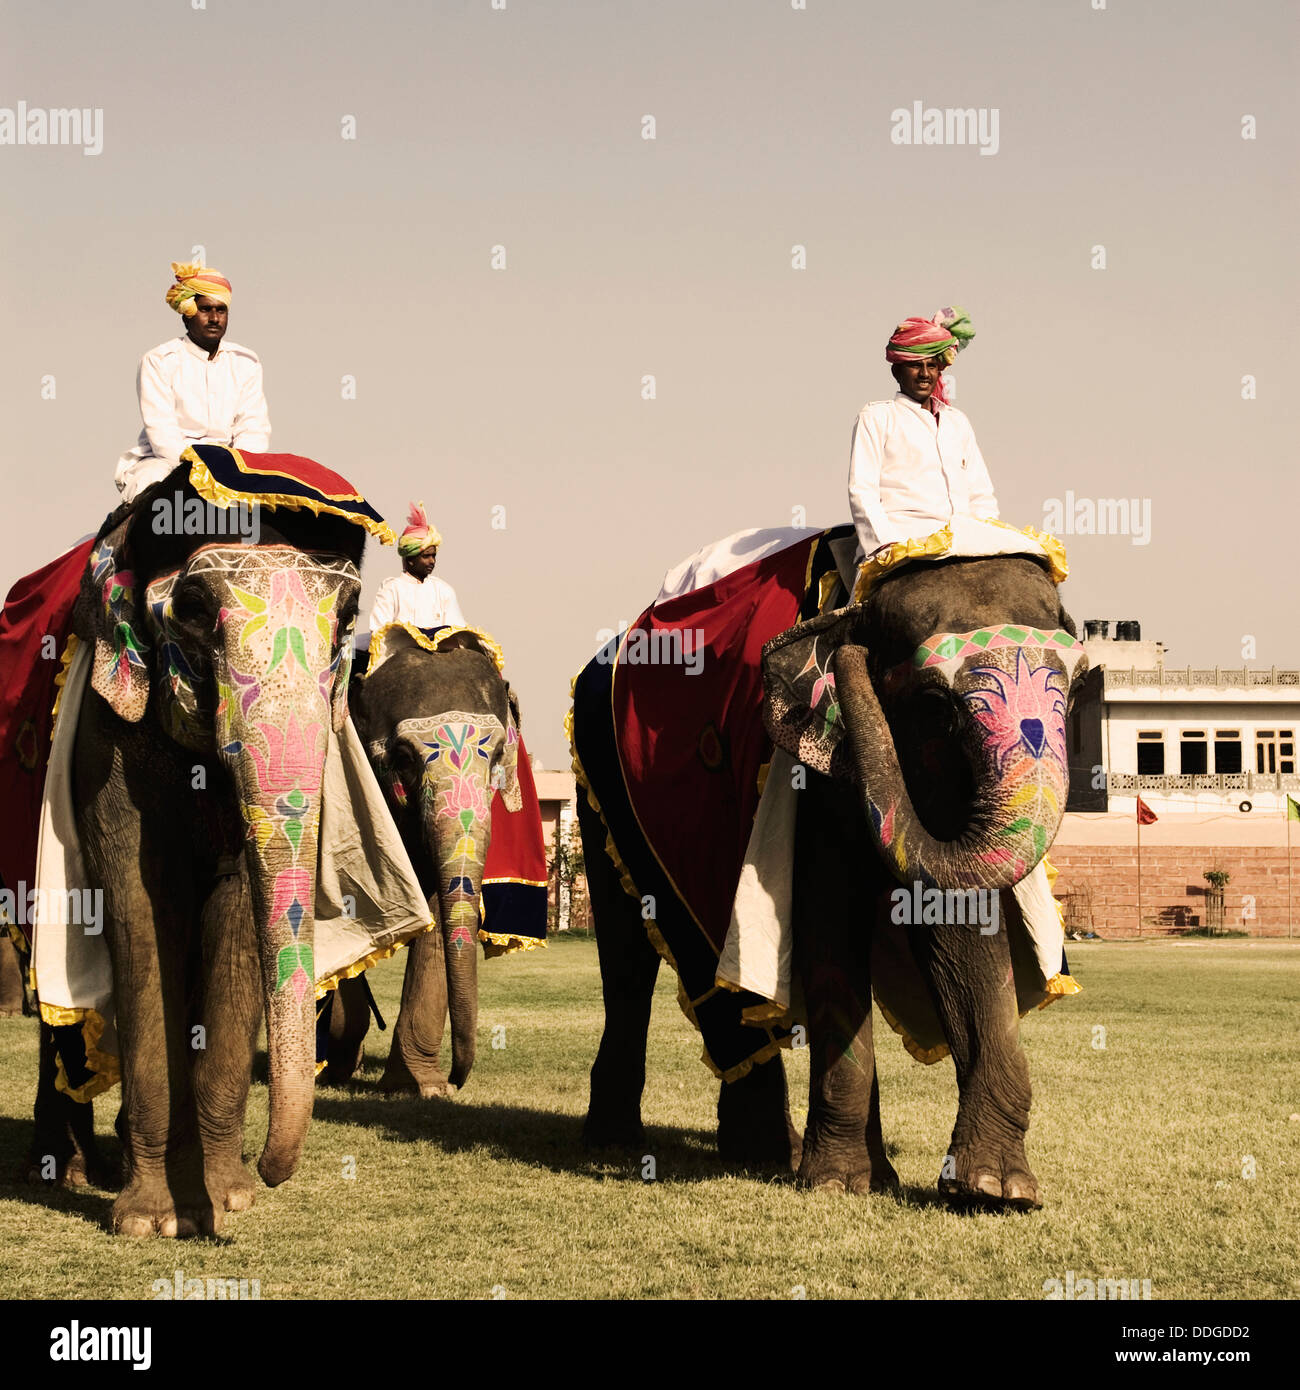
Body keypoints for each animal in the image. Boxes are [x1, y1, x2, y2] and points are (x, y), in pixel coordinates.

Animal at [45, 472, 368, 1236]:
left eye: (348, 617)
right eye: (191, 610)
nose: (271, 1171)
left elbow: (236, 910)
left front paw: (224, 1203)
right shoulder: (104, 738)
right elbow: (140, 903)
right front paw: (149, 1221)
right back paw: (73, 1172)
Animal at [579, 551, 1085, 1208]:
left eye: (1076, 690)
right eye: (935, 706)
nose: (852, 657)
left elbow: (960, 934)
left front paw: (996, 1190)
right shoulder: (809, 778)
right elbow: (828, 926)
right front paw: (838, 1184)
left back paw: (768, 1152)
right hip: (607, 780)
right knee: (639, 957)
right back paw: (635, 1144)